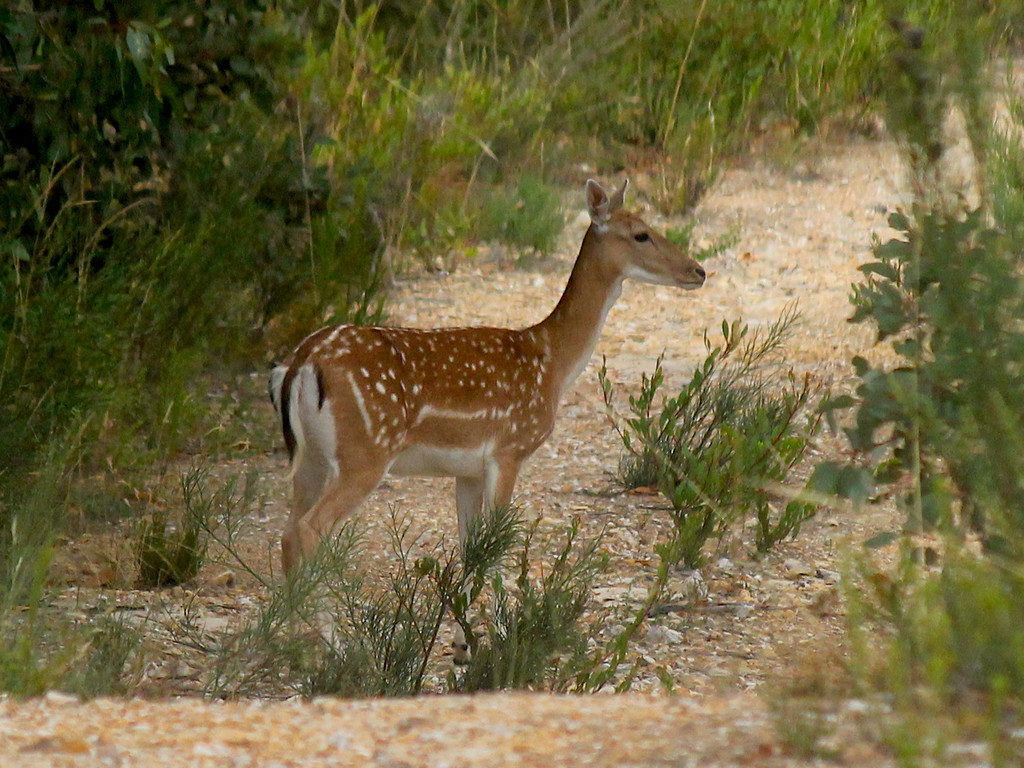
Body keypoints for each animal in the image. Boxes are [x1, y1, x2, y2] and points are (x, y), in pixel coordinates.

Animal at [270, 178, 706, 575]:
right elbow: (494, 552)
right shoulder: (509, 448)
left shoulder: (468, 470)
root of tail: (304, 361)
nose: (698, 271)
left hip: (311, 458)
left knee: (288, 533)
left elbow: (471, 549)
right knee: (309, 530)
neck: (551, 361)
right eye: (641, 234)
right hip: (366, 449)